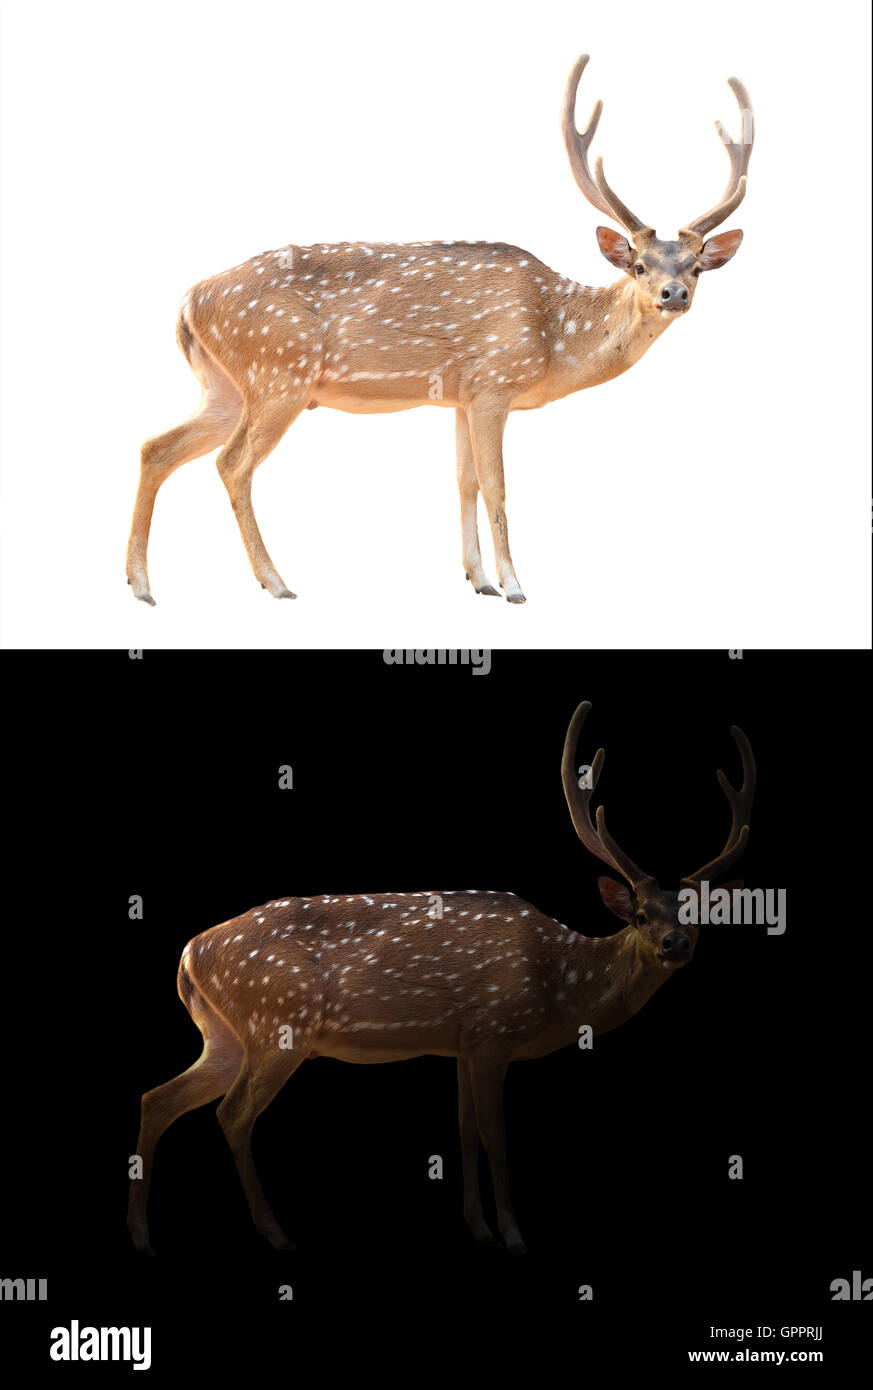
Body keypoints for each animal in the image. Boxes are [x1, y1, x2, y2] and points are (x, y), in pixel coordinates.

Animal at [126, 55, 754, 606]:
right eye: (640, 265)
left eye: (696, 266)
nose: (674, 294)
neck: (553, 337)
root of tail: (189, 301)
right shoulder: (495, 383)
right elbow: (497, 484)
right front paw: (515, 586)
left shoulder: (459, 396)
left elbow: (463, 481)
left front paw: (479, 580)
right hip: (279, 372)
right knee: (231, 463)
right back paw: (276, 582)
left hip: (226, 384)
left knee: (156, 446)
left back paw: (141, 584)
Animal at [127, 701, 755, 1255]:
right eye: (642, 915)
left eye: (695, 917)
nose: (675, 944)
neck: (558, 983)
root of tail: (190, 952)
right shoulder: (494, 1029)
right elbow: (497, 1141)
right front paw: (514, 1237)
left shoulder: (459, 1043)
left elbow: (465, 1134)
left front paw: (479, 1230)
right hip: (278, 1021)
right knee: (232, 1113)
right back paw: (277, 1235)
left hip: (226, 1034)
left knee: (158, 1097)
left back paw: (142, 1236)